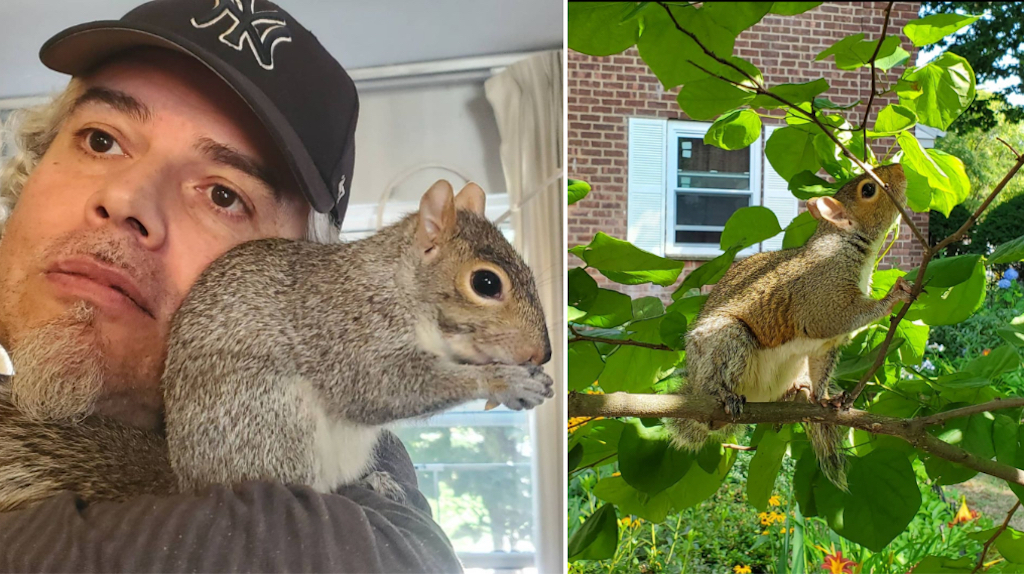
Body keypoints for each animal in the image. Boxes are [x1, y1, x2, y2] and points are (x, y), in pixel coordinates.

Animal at [666, 164, 914, 490]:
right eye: (869, 189)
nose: (901, 169)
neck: (845, 243)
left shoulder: (826, 345)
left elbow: (822, 366)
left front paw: (824, 399)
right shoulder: (823, 298)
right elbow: (838, 315)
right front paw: (892, 297)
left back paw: (798, 391)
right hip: (726, 340)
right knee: (715, 377)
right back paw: (721, 397)